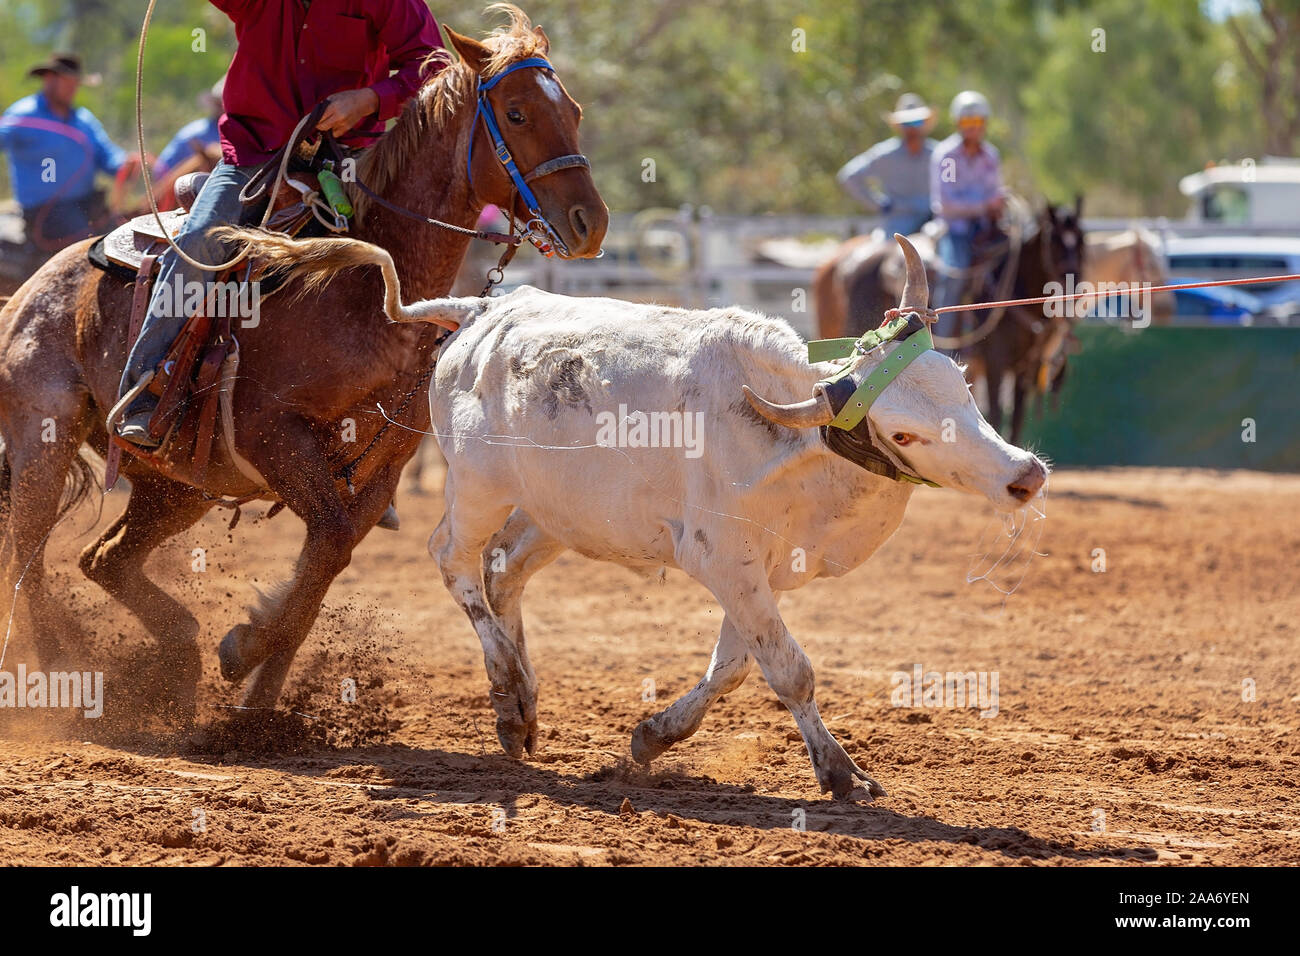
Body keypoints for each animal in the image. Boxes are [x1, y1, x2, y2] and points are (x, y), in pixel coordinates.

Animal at [233, 230, 1048, 800]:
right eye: (903, 433)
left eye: (962, 386)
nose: (1026, 475)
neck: (790, 439)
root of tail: (485, 309)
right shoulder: (724, 560)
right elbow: (790, 670)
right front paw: (841, 774)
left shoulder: (759, 570)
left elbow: (735, 667)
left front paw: (654, 737)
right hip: (478, 488)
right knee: (454, 560)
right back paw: (506, 700)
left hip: (557, 515)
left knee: (502, 571)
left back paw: (524, 697)